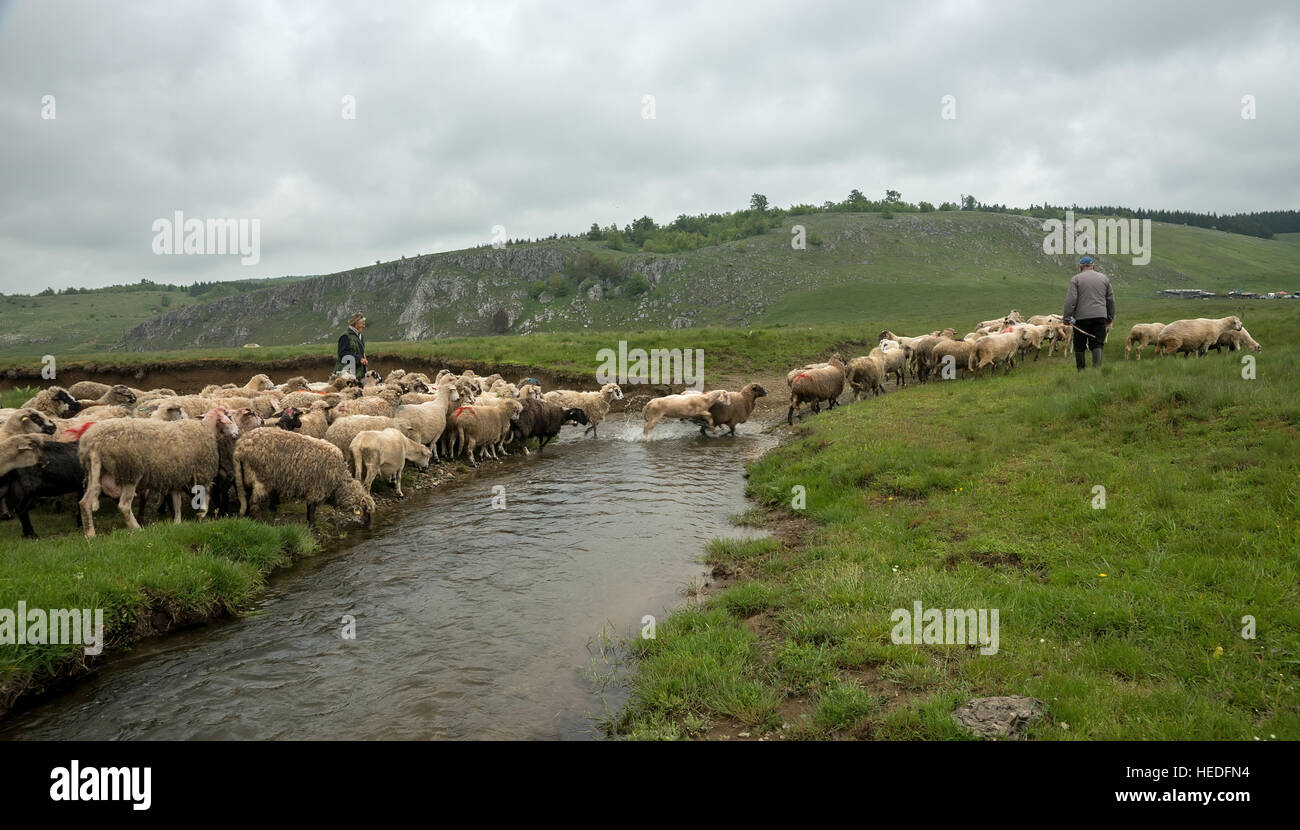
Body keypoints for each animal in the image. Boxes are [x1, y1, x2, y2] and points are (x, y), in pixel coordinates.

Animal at [77, 408, 234, 537]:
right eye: (228, 416)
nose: (236, 433)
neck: (207, 428)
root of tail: (94, 444)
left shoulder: (176, 477)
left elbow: (177, 502)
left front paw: (177, 523)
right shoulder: (204, 471)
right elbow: (206, 493)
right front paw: (202, 514)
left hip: (95, 473)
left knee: (85, 503)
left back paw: (90, 534)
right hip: (130, 473)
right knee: (124, 506)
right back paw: (137, 529)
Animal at [232, 429, 375, 527]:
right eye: (364, 511)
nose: (368, 525)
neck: (339, 480)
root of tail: (240, 447)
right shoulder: (317, 489)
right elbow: (311, 509)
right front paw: (312, 525)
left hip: (249, 477)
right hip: (260, 480)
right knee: (254, 503)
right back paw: (259, 521)